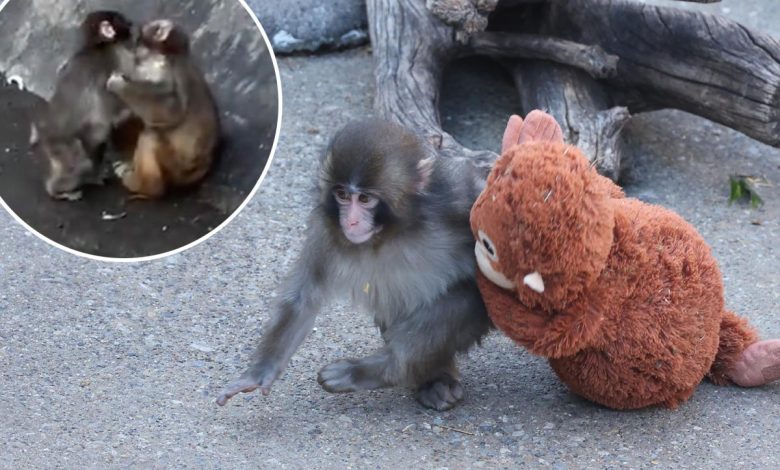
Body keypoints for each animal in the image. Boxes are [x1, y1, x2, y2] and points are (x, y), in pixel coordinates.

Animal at [30, 10, 135, 200]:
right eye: (122, 21)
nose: (131, 24)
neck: (96, 45)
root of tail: (44, 135)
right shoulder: (115, 56)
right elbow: (113, 105)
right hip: (62, 146)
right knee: (81, 161)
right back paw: (58, 191)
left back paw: (92, 177)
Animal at [106, 19, 219, 198]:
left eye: (141, 35)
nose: (134, 37)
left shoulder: (161, 68)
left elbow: (171, 110)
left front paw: (117, 84)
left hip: (177, 169)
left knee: (151, 136)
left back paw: (147, 187)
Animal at [217, 119, 493, 411]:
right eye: (341, 195)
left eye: (364, 199)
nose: (350, 221)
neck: (394, 231)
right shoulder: (326, 229)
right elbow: (303, 298)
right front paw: (258, 373)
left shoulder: (457, 199)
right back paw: (432, 379)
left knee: (465, 297)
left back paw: (381, 369)